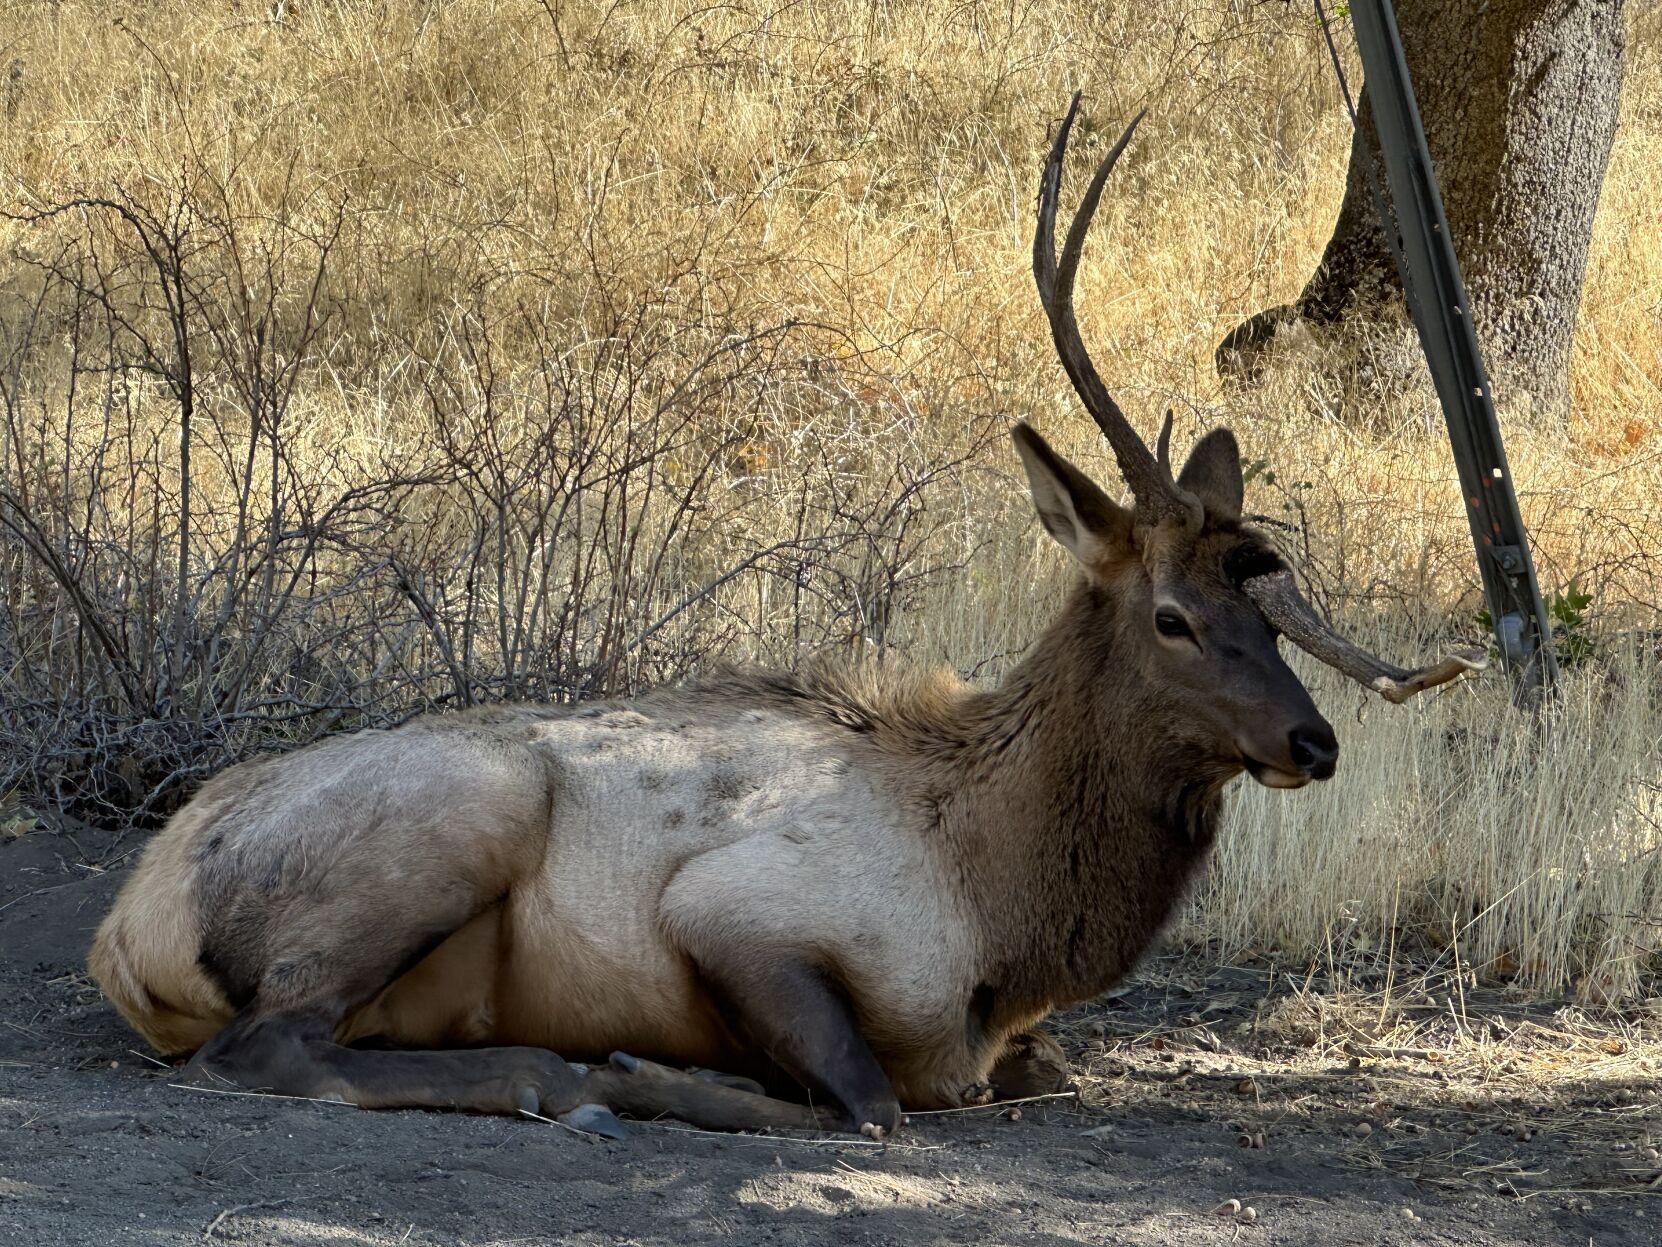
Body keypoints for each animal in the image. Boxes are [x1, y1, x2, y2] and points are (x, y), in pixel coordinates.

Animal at [89, 96, 1483, 1141]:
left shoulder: (1009, 1032)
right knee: (270, 1045)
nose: (1315, 741)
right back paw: (551, 1073)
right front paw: (648, 1073)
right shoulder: (740, 910)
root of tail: (128, 924)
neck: (1008, 909)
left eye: (1275, 616)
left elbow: (1032, 1071)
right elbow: (871, 1098)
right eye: (1175, 617)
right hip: (457, 818)